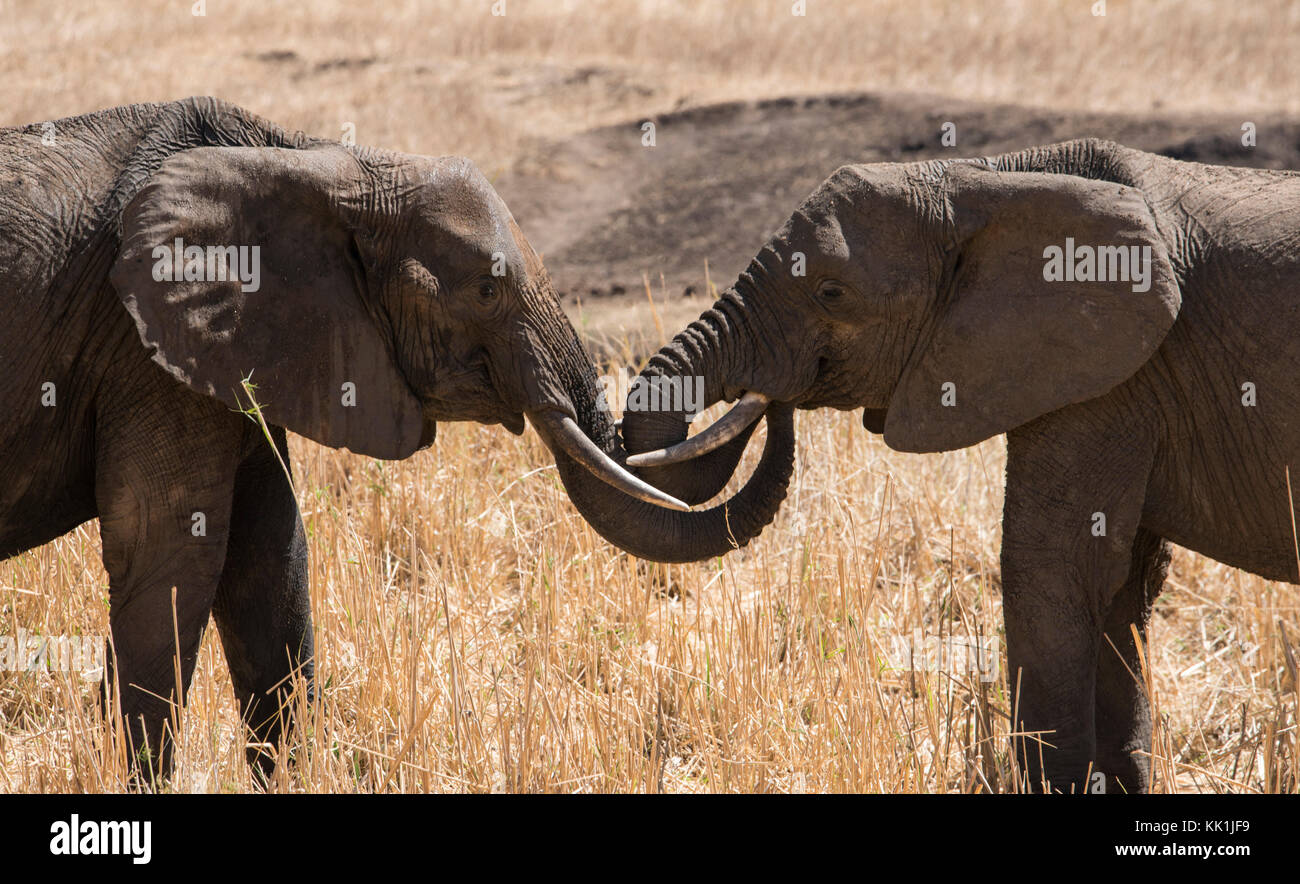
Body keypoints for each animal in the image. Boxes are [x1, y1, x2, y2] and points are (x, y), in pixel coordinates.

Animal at [0, 97, 689, 783]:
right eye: (487, 291)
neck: (317, 163)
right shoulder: (141, 346)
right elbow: (172, 557)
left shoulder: (236, 345)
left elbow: (270, 552)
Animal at [580, 138, 1300, 793]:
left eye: (831, 291)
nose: (773, 399)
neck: (989, 177)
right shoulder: (1116, 371)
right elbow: (1124, 588)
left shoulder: (1114, 378)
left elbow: (1052, 570)